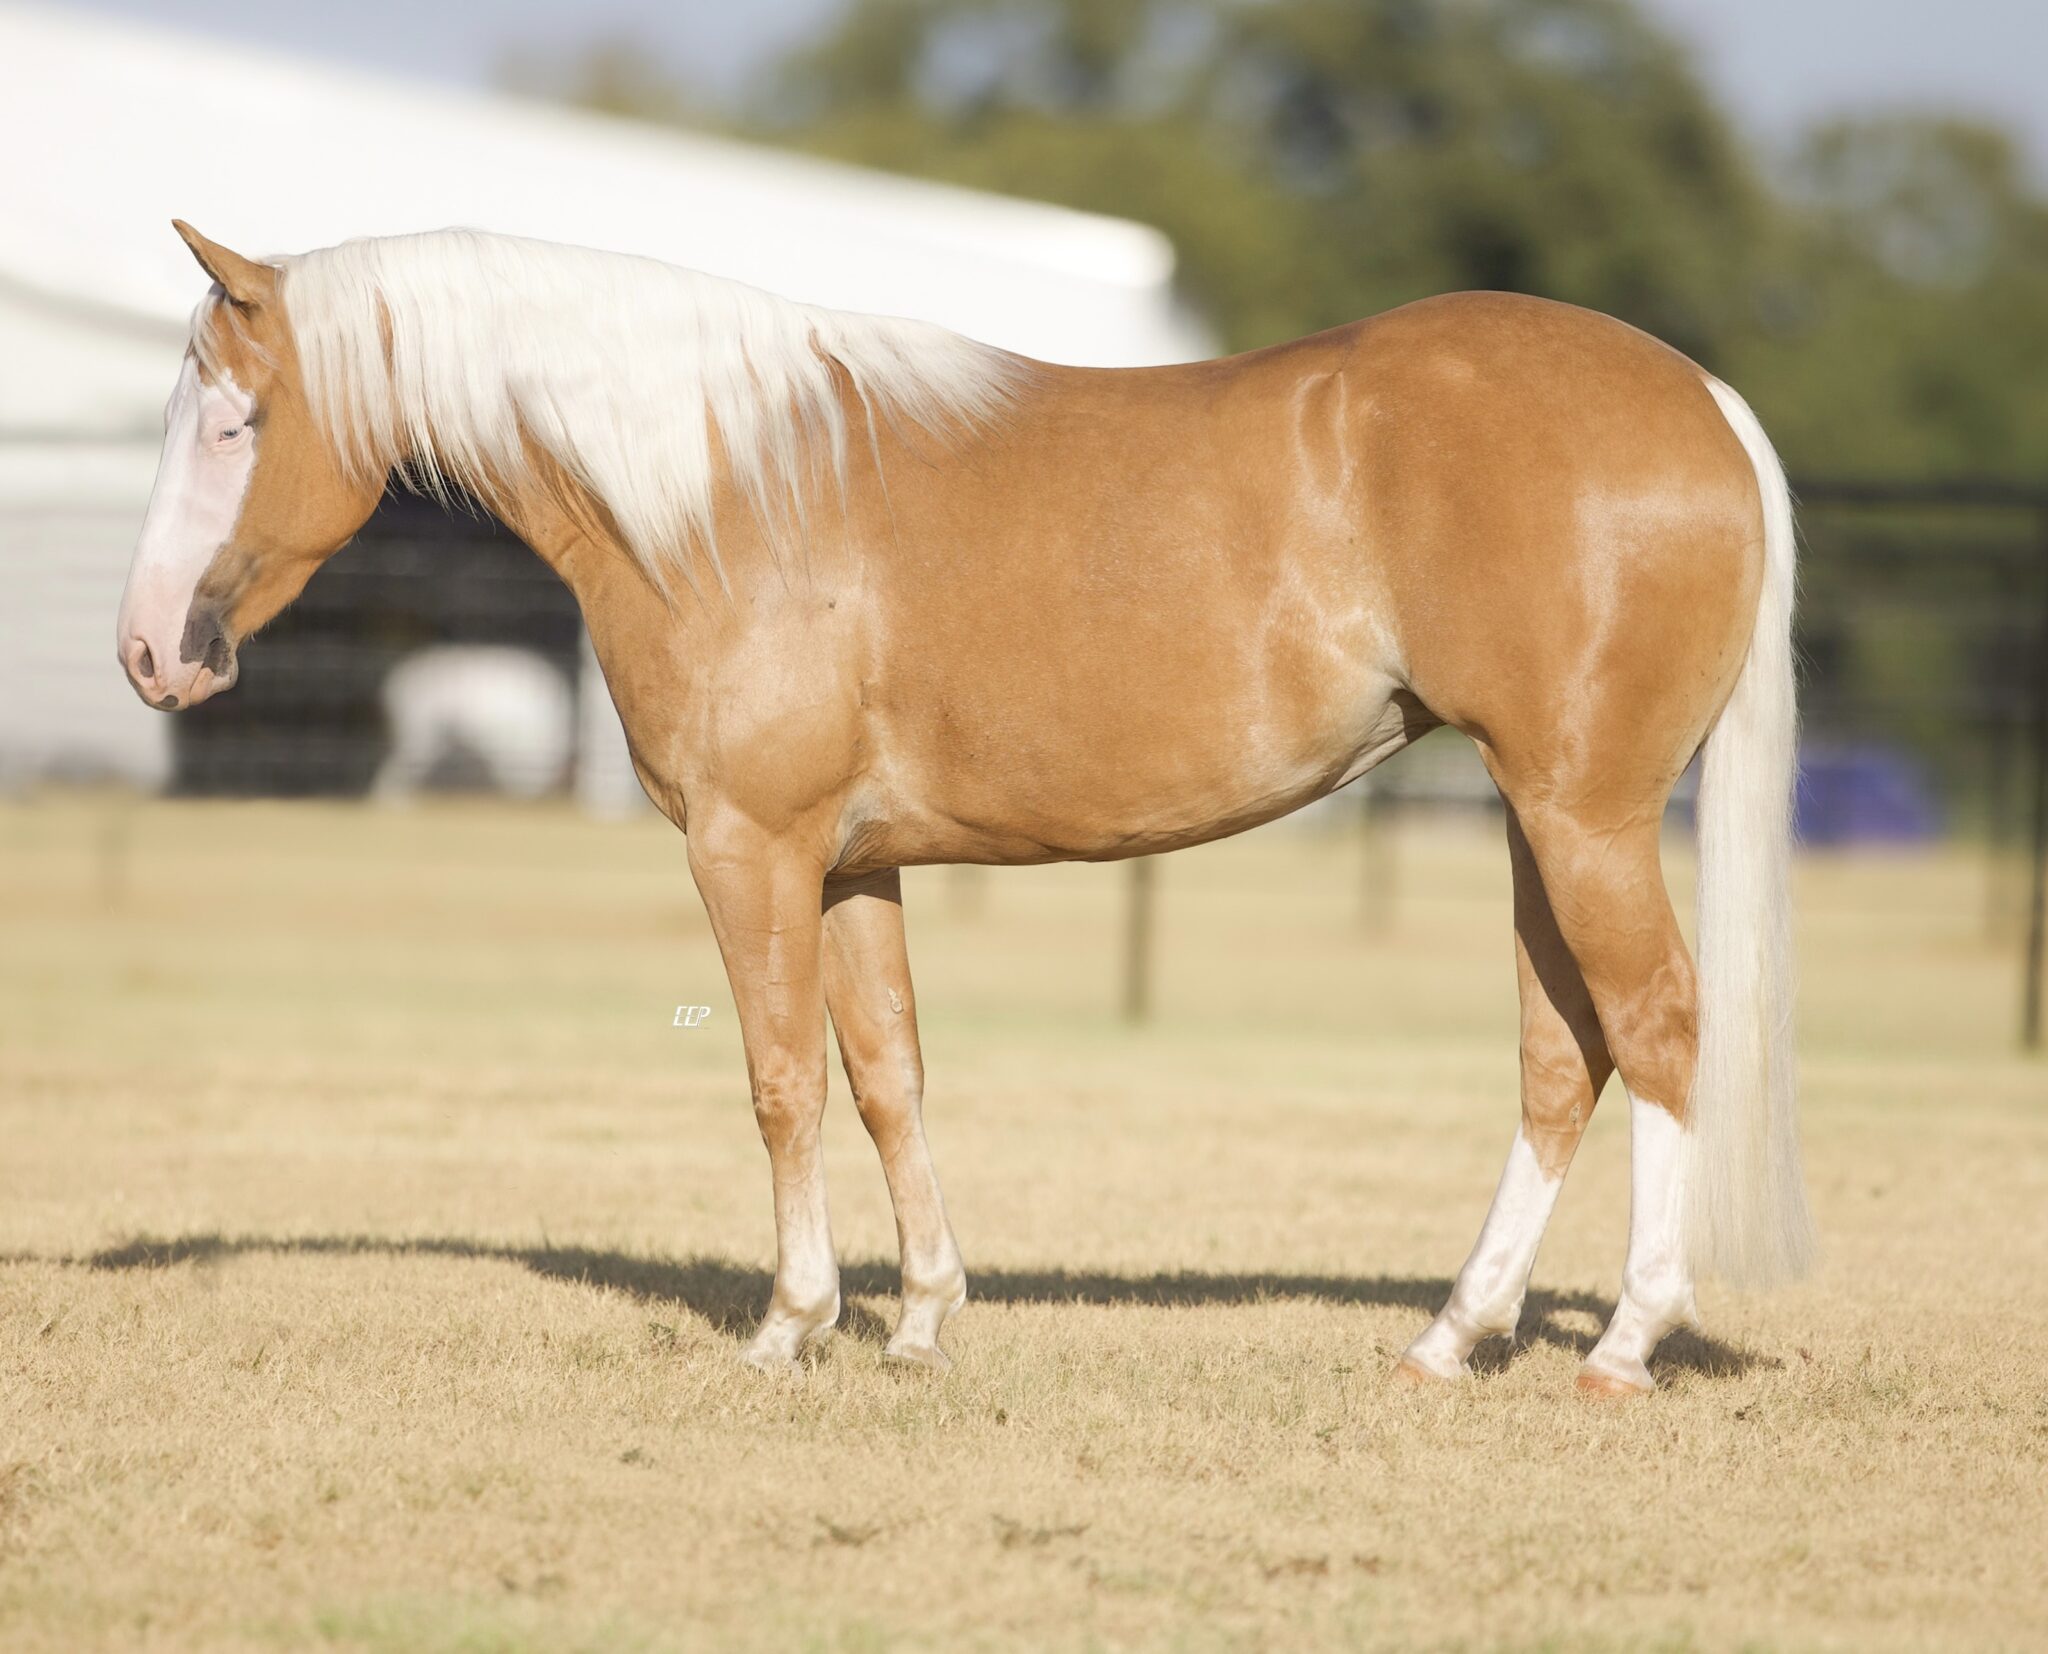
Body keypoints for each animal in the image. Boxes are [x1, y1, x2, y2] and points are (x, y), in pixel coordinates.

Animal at [116, 221, 1812, 1395]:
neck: (723, 491)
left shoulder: (751, 850)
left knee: (1657, 1024)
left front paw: (791, 1325)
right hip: (1542, 822)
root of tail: (1708, 400)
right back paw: (1455, 1334)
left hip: (1584, 818)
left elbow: (782, 1082)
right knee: (1563, 1056)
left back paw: (1627, 1339)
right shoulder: (853, 868)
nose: (150, 652)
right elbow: (888, 1078)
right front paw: (923, 1319)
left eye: (234, 421)